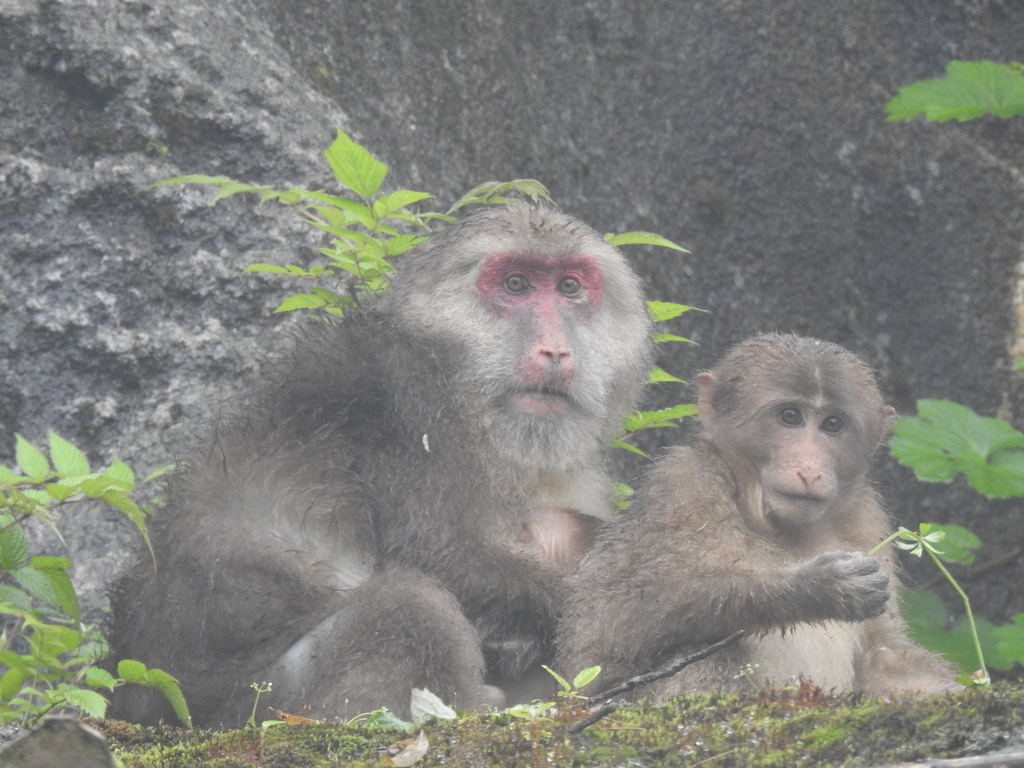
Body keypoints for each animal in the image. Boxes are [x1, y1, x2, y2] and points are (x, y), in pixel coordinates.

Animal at [107, 204, 655, 726]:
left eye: (569, 287)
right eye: (515, 284)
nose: (555, 349)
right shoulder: (417, 429)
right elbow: (447, 559)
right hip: (264, 705)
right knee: (406, 607)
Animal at [557, 334, 961, 699]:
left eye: (832, 424)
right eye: (790, 417)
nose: (809, 468)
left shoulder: (867, 517)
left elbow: (881, 650)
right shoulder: (681, 484)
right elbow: (609, 624)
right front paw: (817, 587)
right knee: (697, 653)